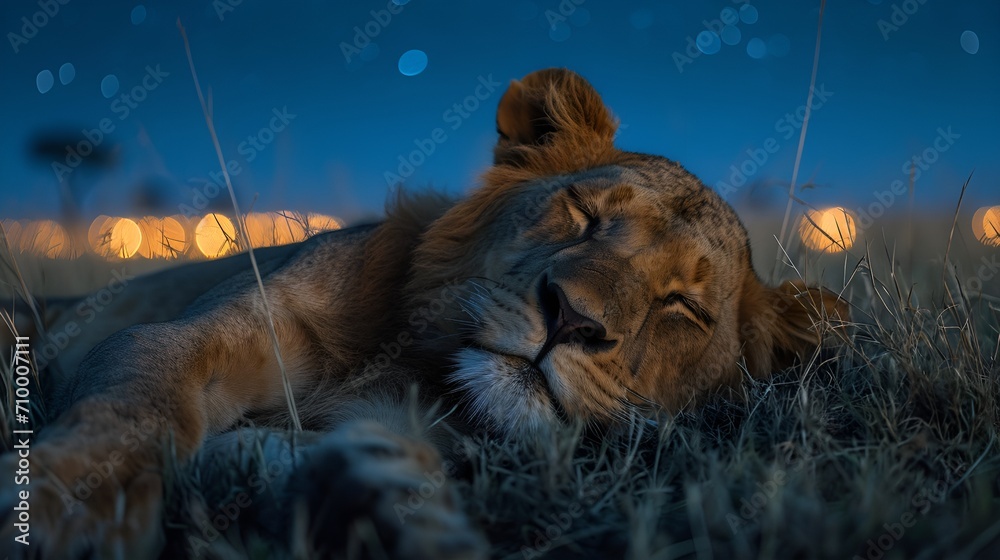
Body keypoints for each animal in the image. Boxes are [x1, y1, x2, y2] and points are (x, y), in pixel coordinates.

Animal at [0, 68, 845, 559]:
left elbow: (370, 468)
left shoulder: (385, 433)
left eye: (683, 306)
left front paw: (412, 525)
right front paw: (61, 508)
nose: (570, 318)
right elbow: (131, 415)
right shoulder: (182, 338)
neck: (414, 363)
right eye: (584, 212)